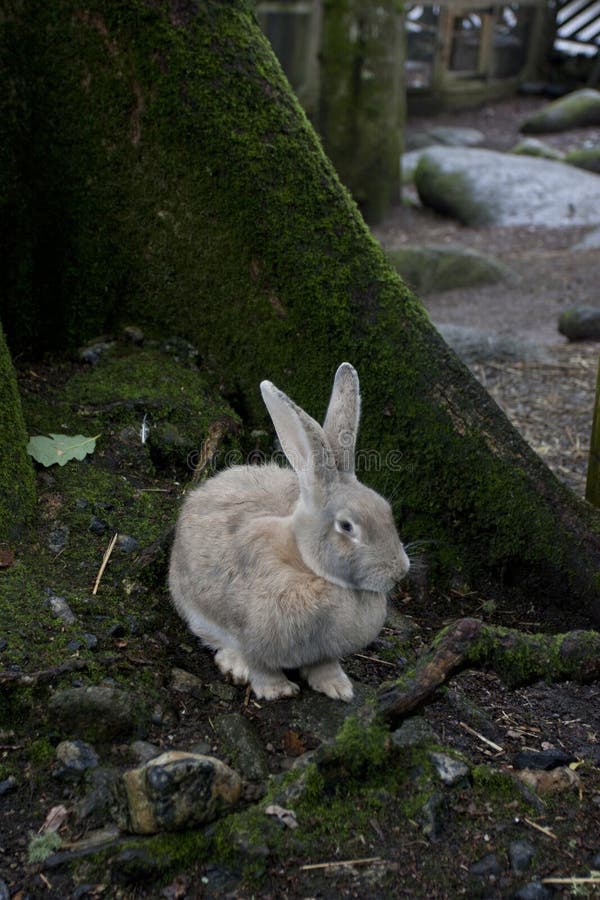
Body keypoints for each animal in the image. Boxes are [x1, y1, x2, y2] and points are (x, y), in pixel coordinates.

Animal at [168, 363, 410, 702]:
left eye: (386, 510)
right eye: (347, 526)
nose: (399, 572)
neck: (308, 566)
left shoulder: (324, 653)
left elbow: (324, 665)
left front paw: (339, 688)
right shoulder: (252, 635)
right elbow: (260, 664)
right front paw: (277, 690)